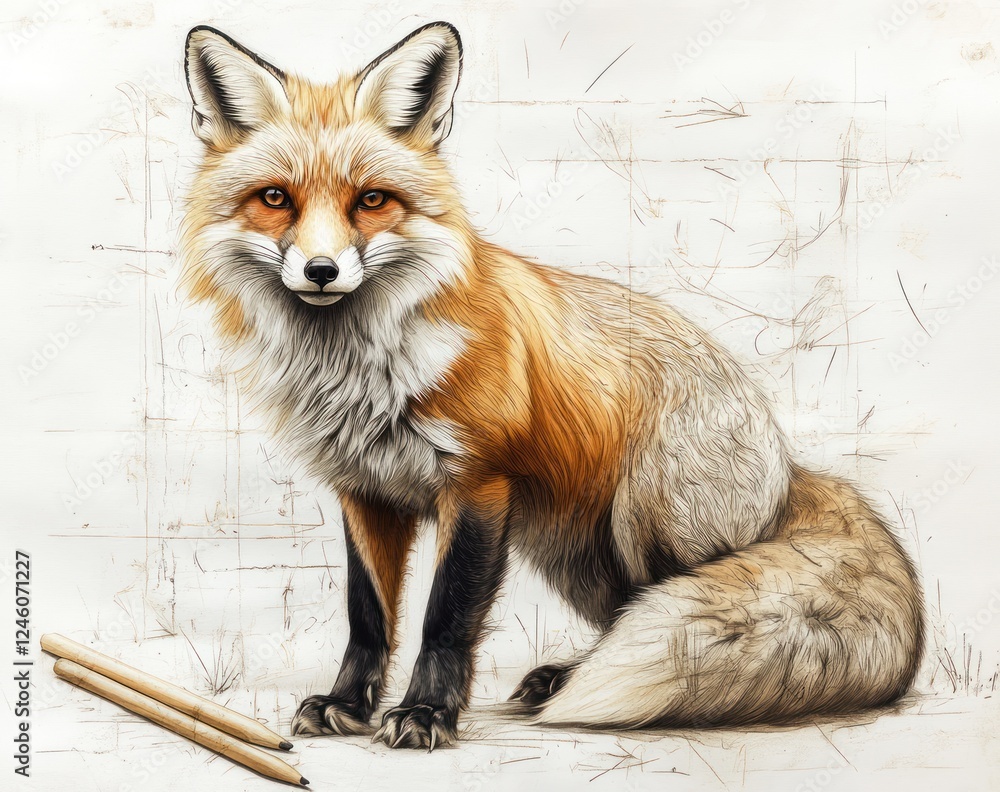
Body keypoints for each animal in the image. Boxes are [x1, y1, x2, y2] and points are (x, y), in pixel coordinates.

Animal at [179, 22, 924, 750]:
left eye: (371, 201)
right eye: (276, 199)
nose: (322, 271)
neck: (360, 371)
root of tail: (789, 470)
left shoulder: (477, 483)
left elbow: (445, 617)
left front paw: (426, 713)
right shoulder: (364, 491)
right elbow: (368, 616)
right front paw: (345, 703)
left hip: (646, 519)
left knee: (657, 604)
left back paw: (585, 686)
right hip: (568, 551)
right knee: (620, 612)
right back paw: (562, 677)